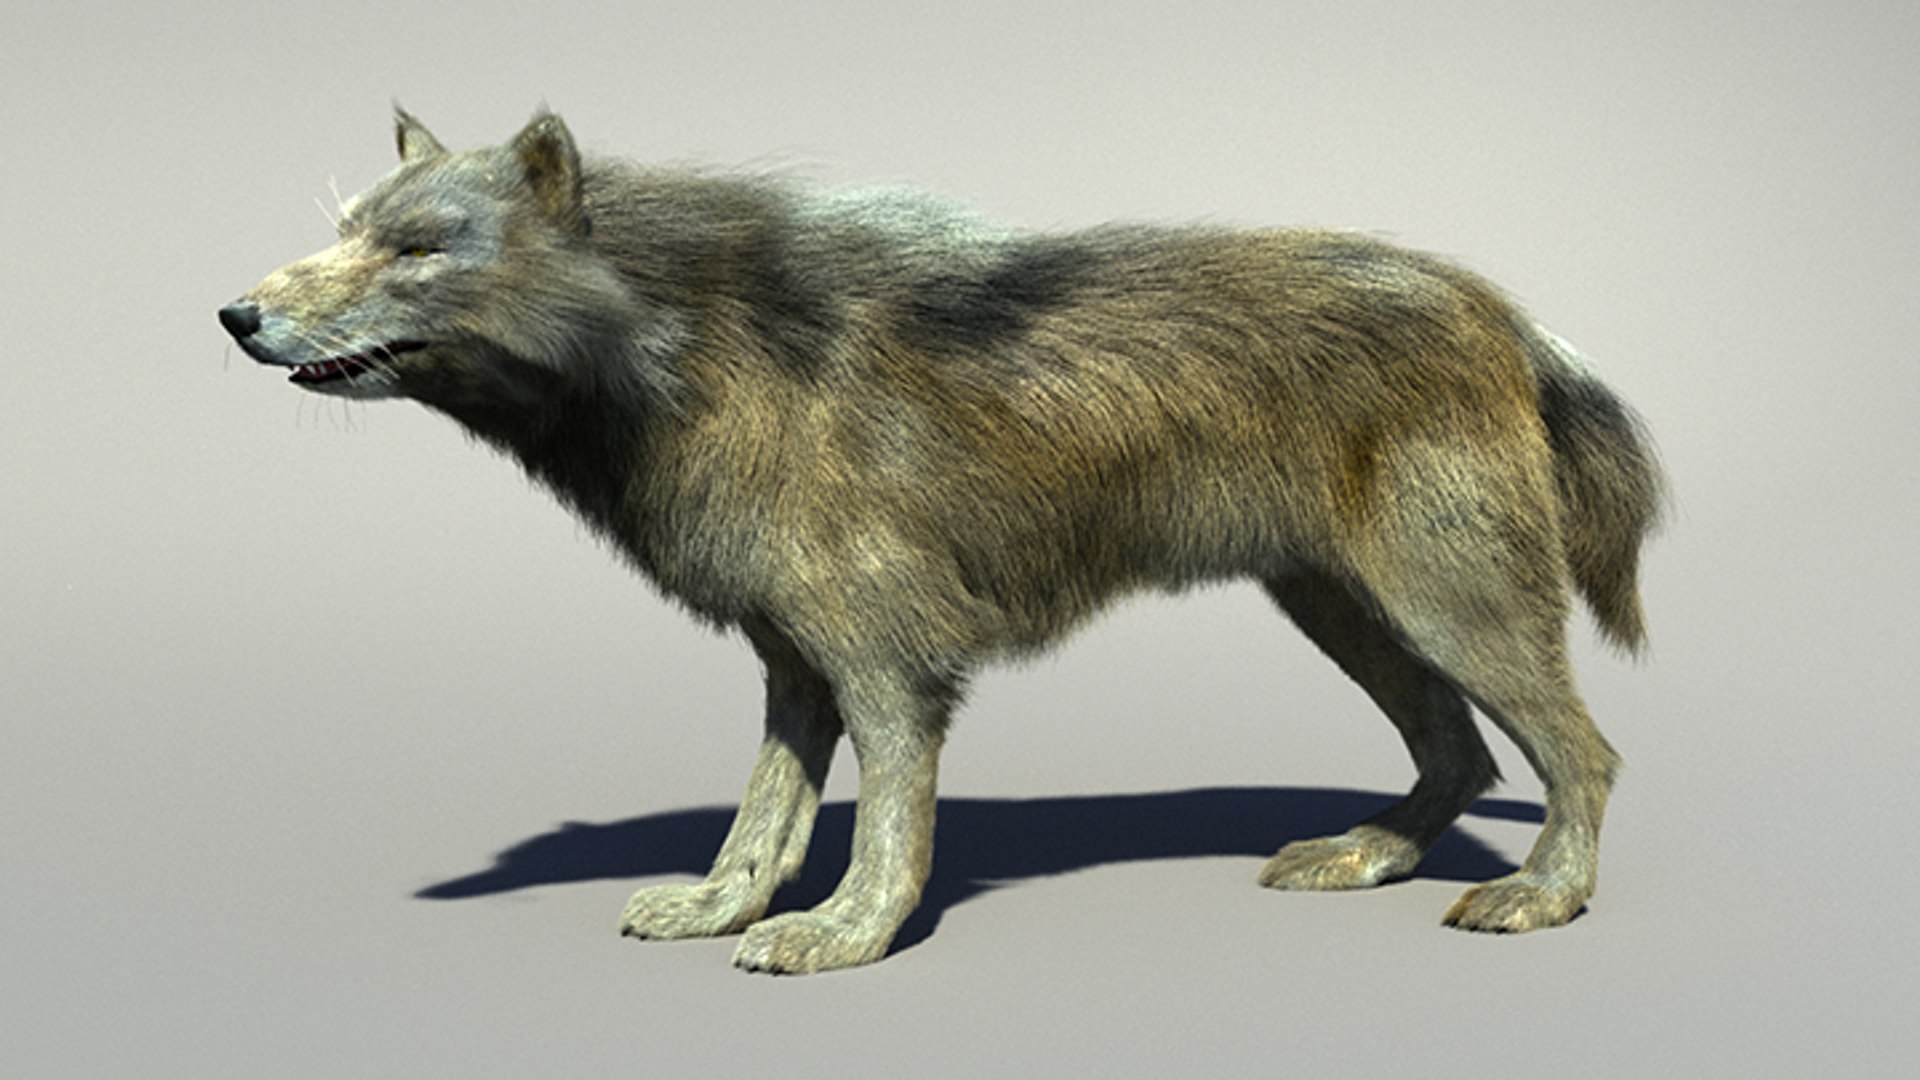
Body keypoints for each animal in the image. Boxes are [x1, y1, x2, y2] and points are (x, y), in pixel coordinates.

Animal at [220, 109, 1663, 974]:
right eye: (343, 230)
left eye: (414, 250)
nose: (234, 314)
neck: (693, 353)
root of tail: (1500, 308)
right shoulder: (793, 664)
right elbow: (763, 816)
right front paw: (718, 908)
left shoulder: (888, 665)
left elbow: (885, 824)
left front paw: (844, 934)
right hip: (1350, 608)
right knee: (1462, 753)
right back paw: (1367, 856)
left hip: (1447, 604)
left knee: (1582, 752)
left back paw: (1543, 896)